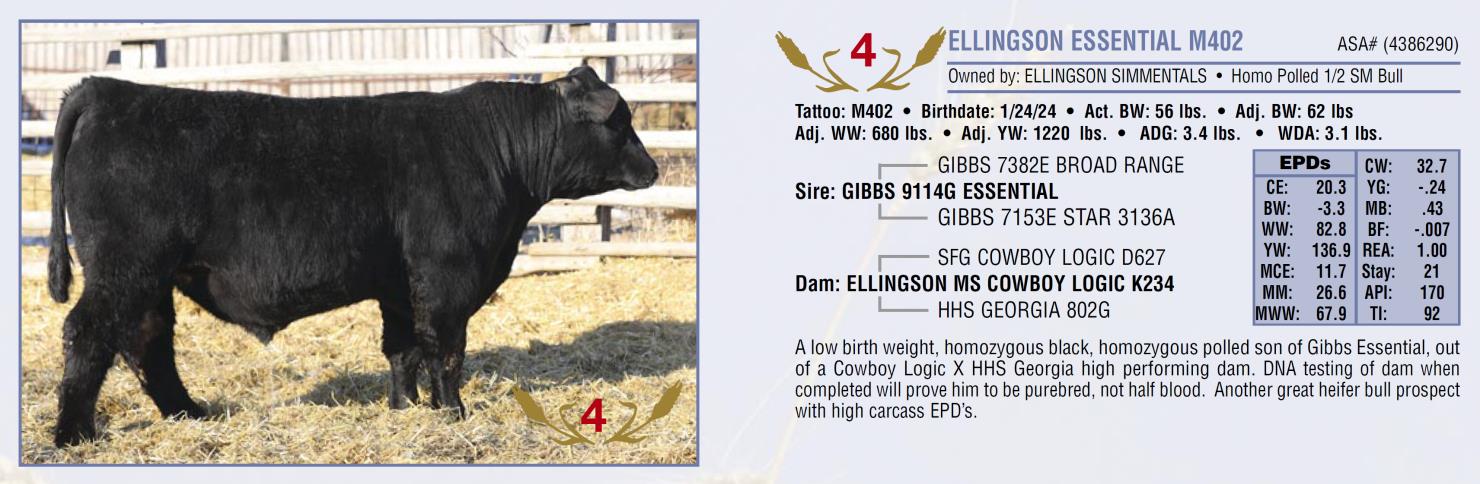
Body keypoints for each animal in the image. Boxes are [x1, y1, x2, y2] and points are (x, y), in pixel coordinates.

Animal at [44, 66, 659, 447]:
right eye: (620, 122)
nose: (653, 169)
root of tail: (105, 89)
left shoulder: (401, 284)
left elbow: (403, 349)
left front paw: (406, 408)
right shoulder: (447, 276)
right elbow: (446, 350)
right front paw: (453, 413)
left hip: (149, 275)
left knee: (146, 339)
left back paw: (188, 413)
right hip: (125, 265)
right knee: (89, 333)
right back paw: (75, 433)